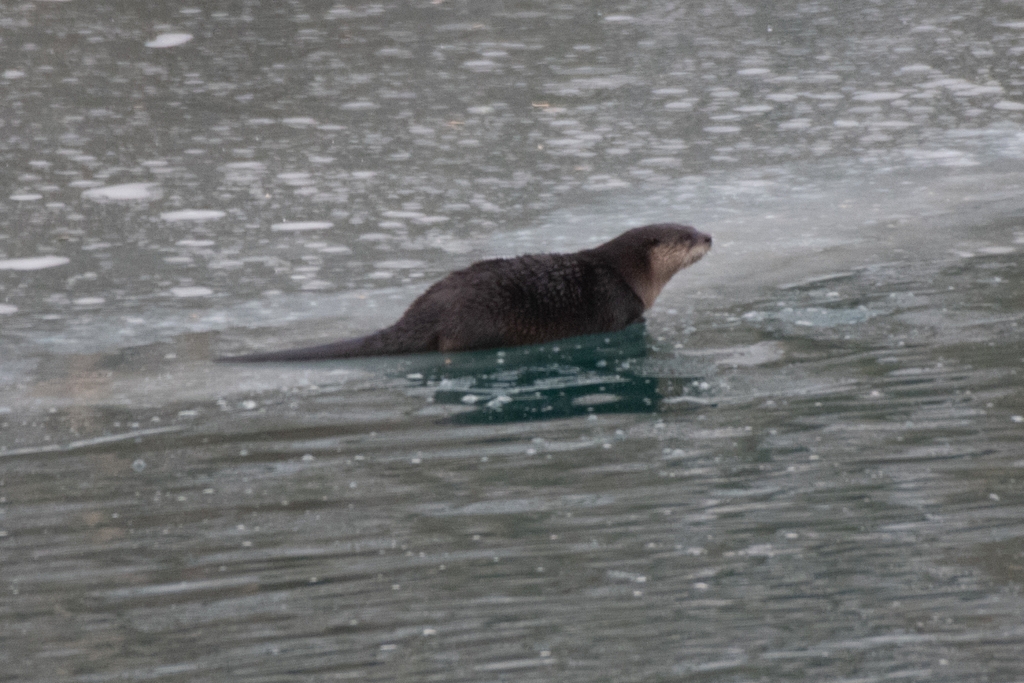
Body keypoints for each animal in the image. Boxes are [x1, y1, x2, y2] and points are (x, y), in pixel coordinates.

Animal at [221, 223, 711, 361]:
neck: (627, 272)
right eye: (686, 236)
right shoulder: (622, 304)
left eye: (693, 226)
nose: (709, 236)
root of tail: (428, 309)